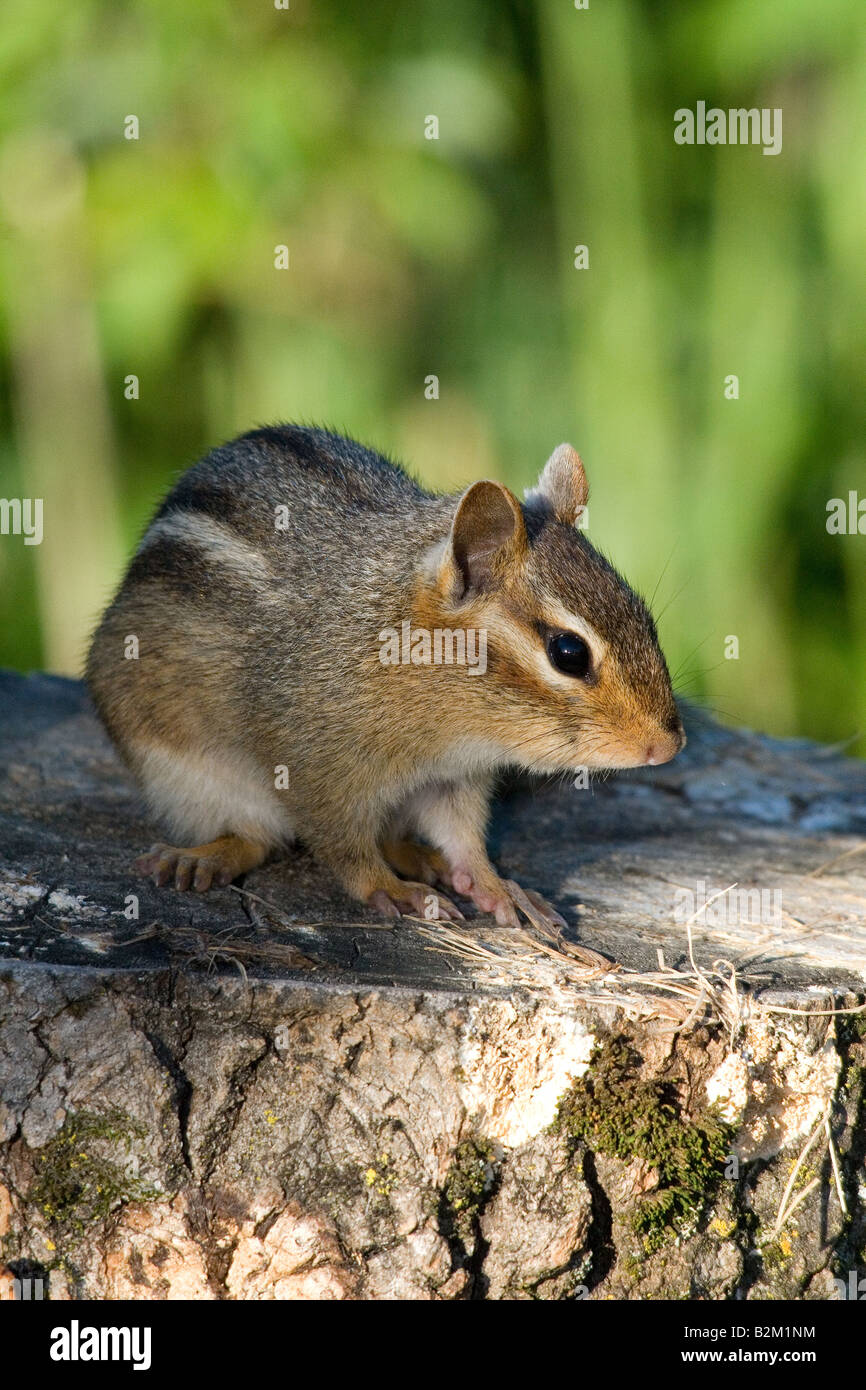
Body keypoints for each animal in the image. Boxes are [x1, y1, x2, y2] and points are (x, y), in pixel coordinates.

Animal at [86, 425, 685, 929]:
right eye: (568, 653)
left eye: (647, 619)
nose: (669, 745)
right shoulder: (316, 767)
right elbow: (344, 848)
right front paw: (390, 890)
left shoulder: (454, 777)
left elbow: (465, 839)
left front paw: (495, 887)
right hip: (192, 779)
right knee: (252, 837)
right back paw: (202, 859)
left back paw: (420, 858)